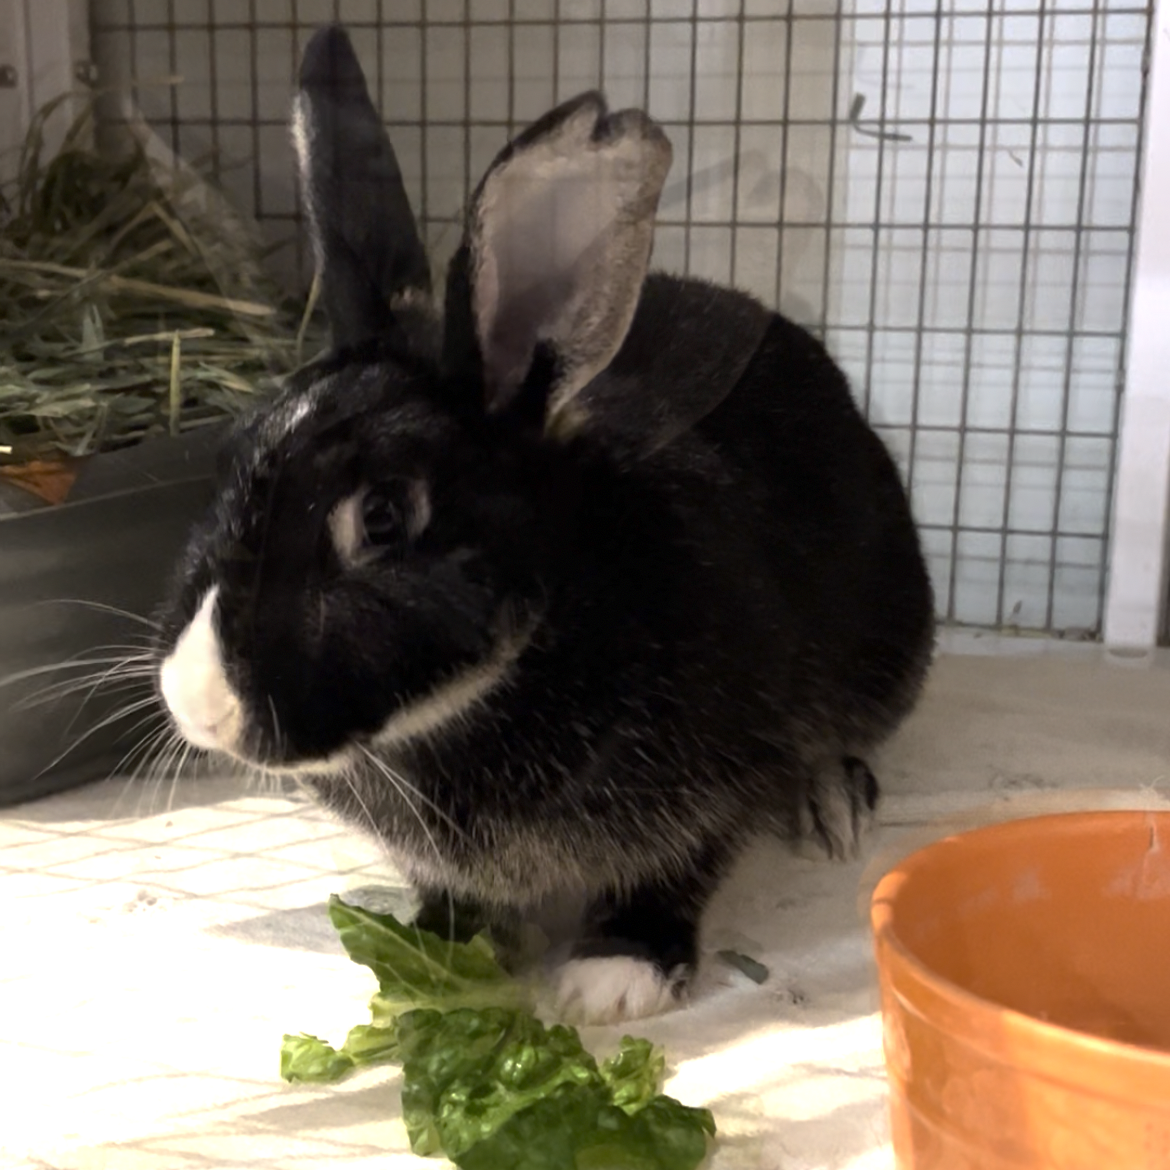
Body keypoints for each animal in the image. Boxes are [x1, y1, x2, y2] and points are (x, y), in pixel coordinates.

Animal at [154, 23, 935, 1025]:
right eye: (230, 453)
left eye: (382, 516)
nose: (197, 704)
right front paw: (433, 954)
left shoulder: (711, 790)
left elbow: (677, 872)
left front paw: (613, 978)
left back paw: (831, 803)